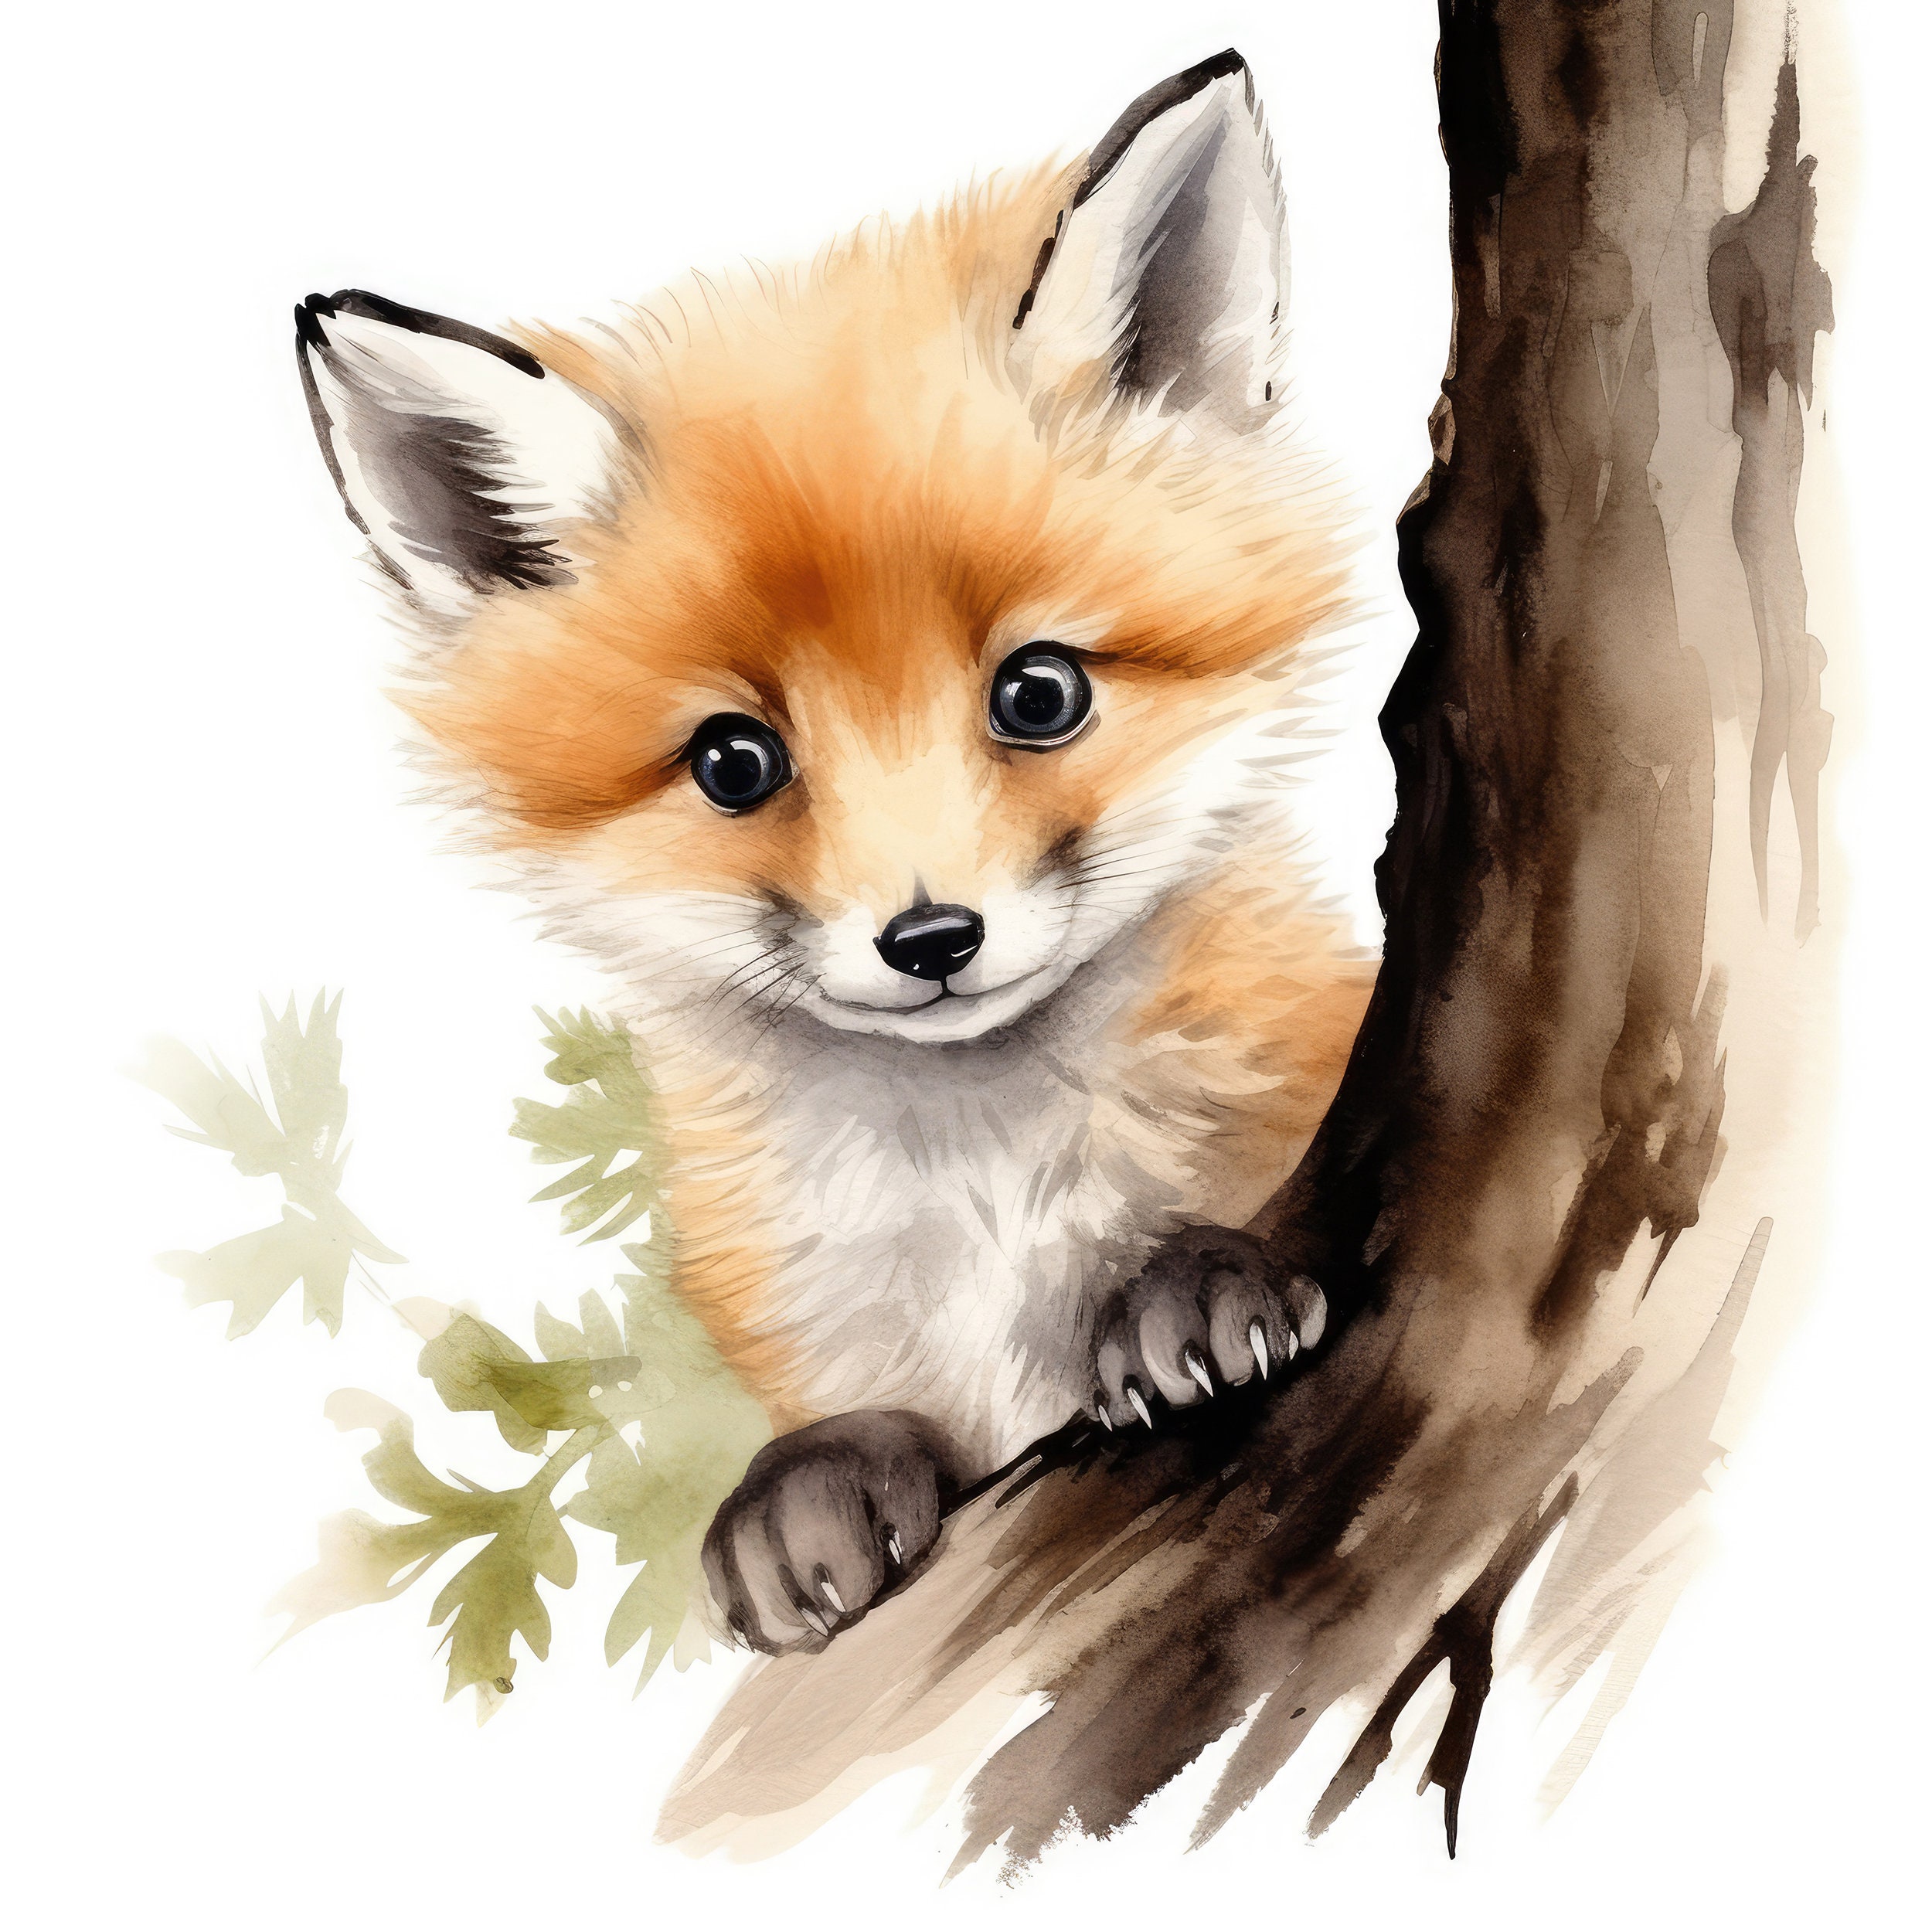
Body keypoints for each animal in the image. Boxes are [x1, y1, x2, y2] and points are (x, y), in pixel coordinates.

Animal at [295, 49, 1375, 1652]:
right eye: (734, 762)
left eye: (1040, 693)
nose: (932, 941)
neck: (989, 1199)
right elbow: (853, 1425)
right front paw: (817, 1478)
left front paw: (1189, 1281)